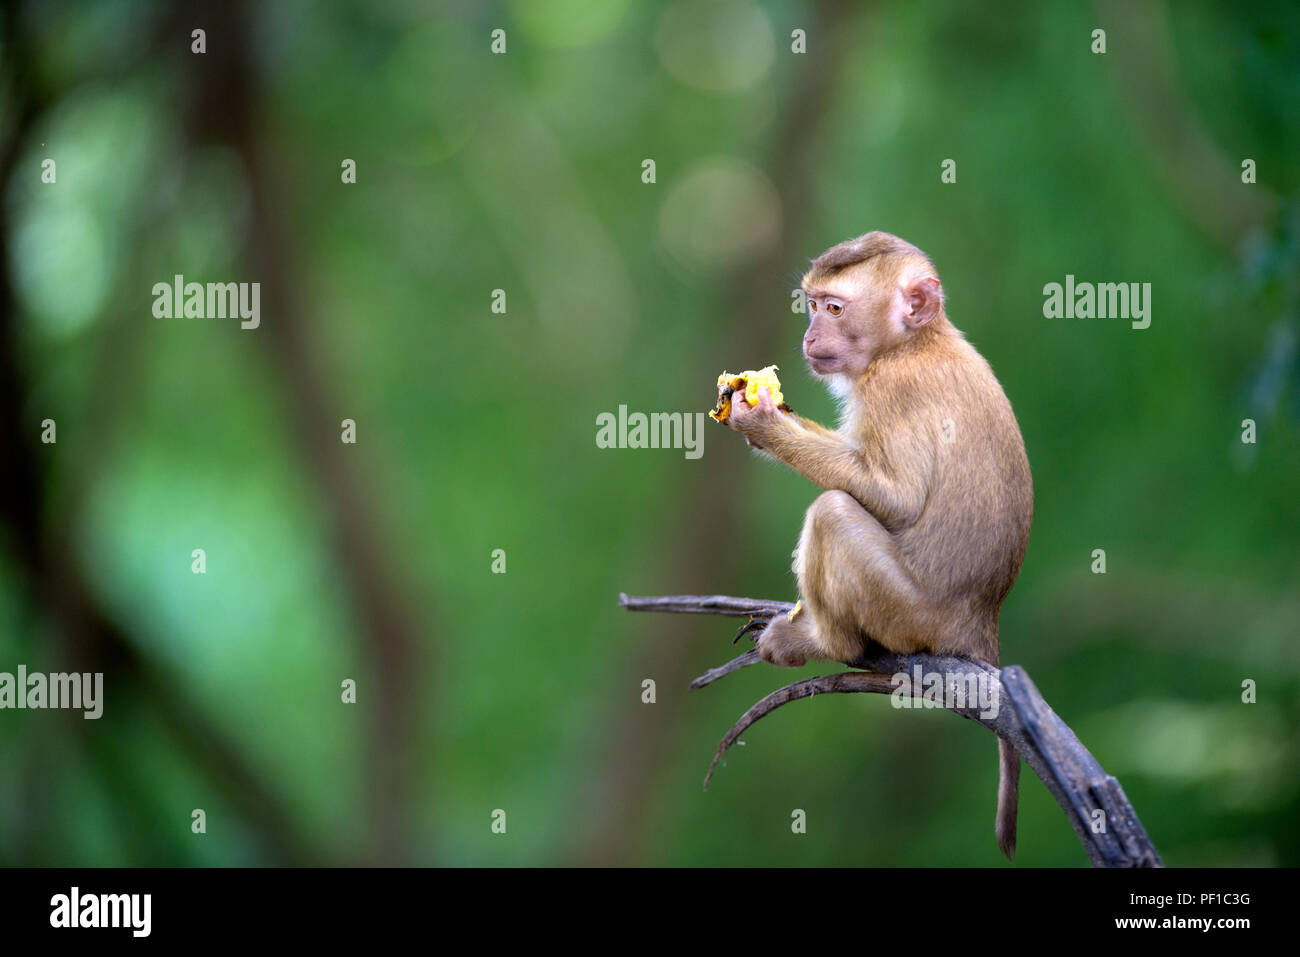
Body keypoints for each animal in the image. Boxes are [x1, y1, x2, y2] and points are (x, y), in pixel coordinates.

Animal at [725, 231, 1033, 859]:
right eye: (812, 305)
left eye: (835, 308)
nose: (810, 336)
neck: (915, 342)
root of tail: (980, 622)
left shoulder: (894, 390)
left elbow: (895, 499)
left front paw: (762, 422)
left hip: (908, 613)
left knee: (834, 512)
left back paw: (823, 641)